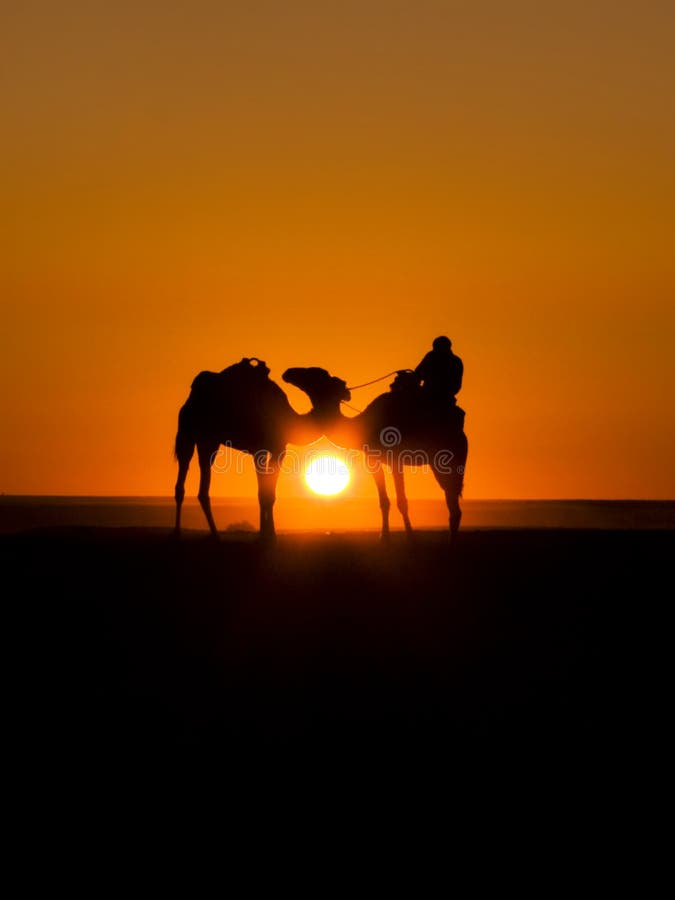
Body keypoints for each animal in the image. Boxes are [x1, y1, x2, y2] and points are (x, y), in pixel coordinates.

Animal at [173, 357, 349, 539]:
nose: (289, 373)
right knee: (190, 477)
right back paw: (198, 534)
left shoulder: (277, 450)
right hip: (193, 434)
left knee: (191, 485)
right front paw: (266, 535)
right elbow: (264, 493)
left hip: (206, 439)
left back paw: (194, 533)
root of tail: (192, 398)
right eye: (317, 373)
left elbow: (268, 493)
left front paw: (269, 533)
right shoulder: (261, 450)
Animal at [282, 367, 469, 540]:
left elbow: (402, 501)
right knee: (451, 498)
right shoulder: (373, 459)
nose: (288, 373)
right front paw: (384, 537)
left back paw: (452, 542)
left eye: (315, 374)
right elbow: (384, 501)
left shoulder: (396, 459)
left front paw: (410, 537)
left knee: (452, 500)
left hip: (449, 459)